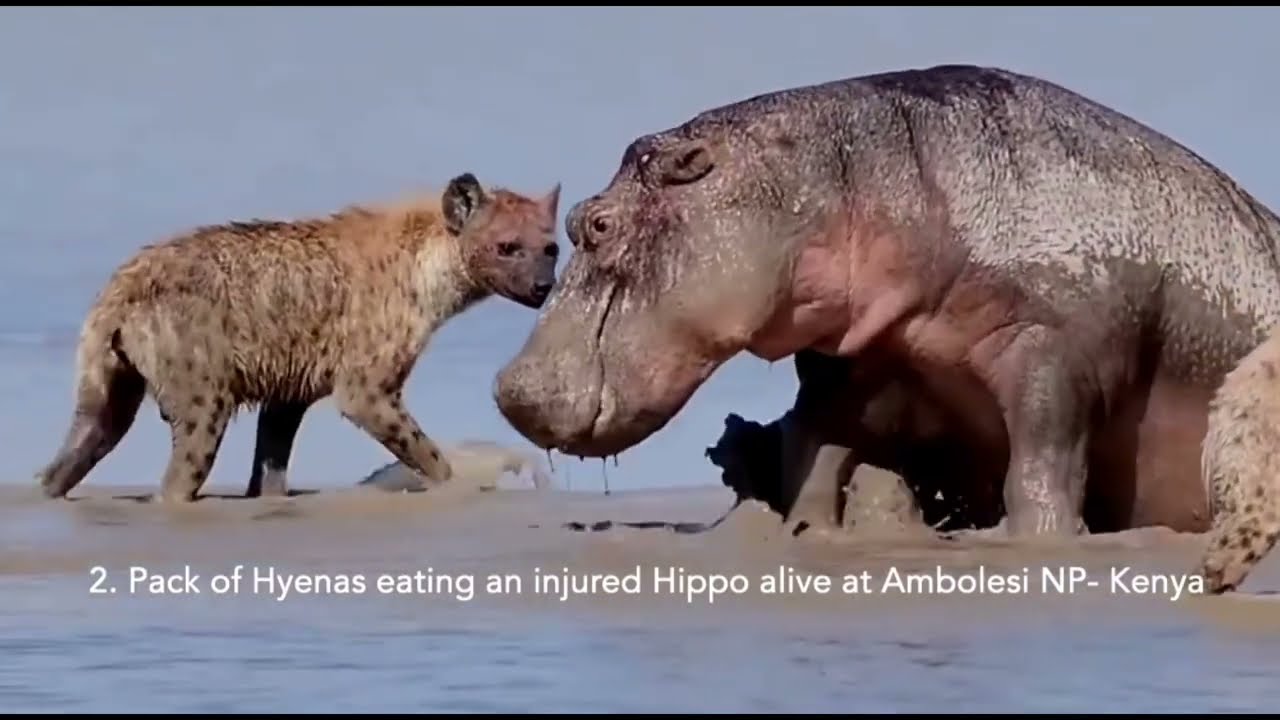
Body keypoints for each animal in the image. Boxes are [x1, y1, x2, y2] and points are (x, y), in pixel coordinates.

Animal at [494, 63, 1280, 559]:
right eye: (573, 222)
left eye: (598, 224)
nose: (508, 388)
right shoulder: (859, 358)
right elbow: (813, 454)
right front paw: (804, 530)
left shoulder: (1055, 354)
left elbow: (1041, 469)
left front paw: (1035, 543)